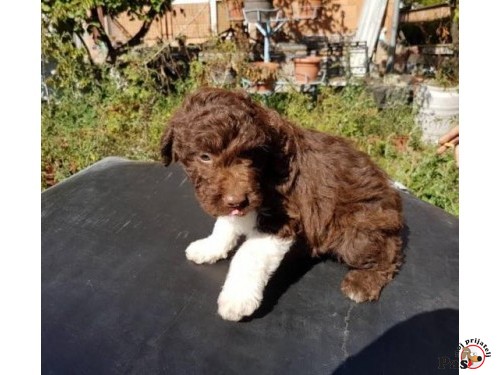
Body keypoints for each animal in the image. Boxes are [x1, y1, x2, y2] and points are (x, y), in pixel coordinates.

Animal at [162, 87, 404, 320]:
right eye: (205, 157)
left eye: (250, 156)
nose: (238, 200)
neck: (266, 167)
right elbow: (224, 226)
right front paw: (210, 247)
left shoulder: (280, 220)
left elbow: (248, 257)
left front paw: (236, 299)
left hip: (358, 231)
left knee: (389, 249)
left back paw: (364, 281)